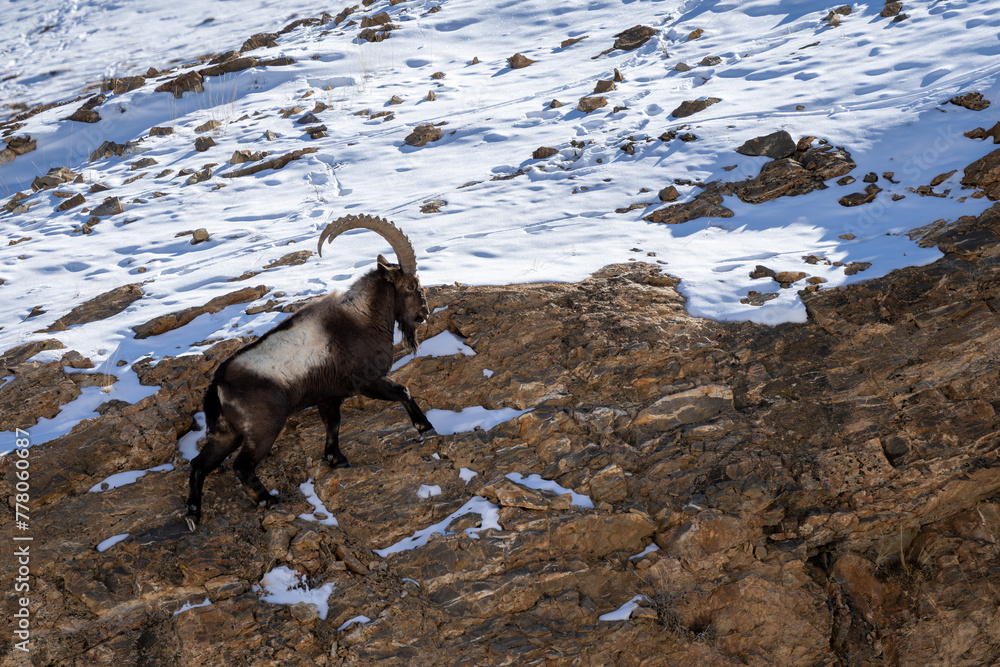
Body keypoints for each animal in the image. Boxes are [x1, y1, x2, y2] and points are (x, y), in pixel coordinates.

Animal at [185, 215, 436, 530]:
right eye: (411, 287)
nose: (424, 313)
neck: (363, 318)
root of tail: (218, 383)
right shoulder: (367, 382)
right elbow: (403, 390)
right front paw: (425, 426)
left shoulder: (329, 397)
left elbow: (333, 424)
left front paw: (336, 458)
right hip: (263, 428)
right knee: (241, 466)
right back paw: (266, 499)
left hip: (226, 433)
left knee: (198, 465)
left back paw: (193, 515)